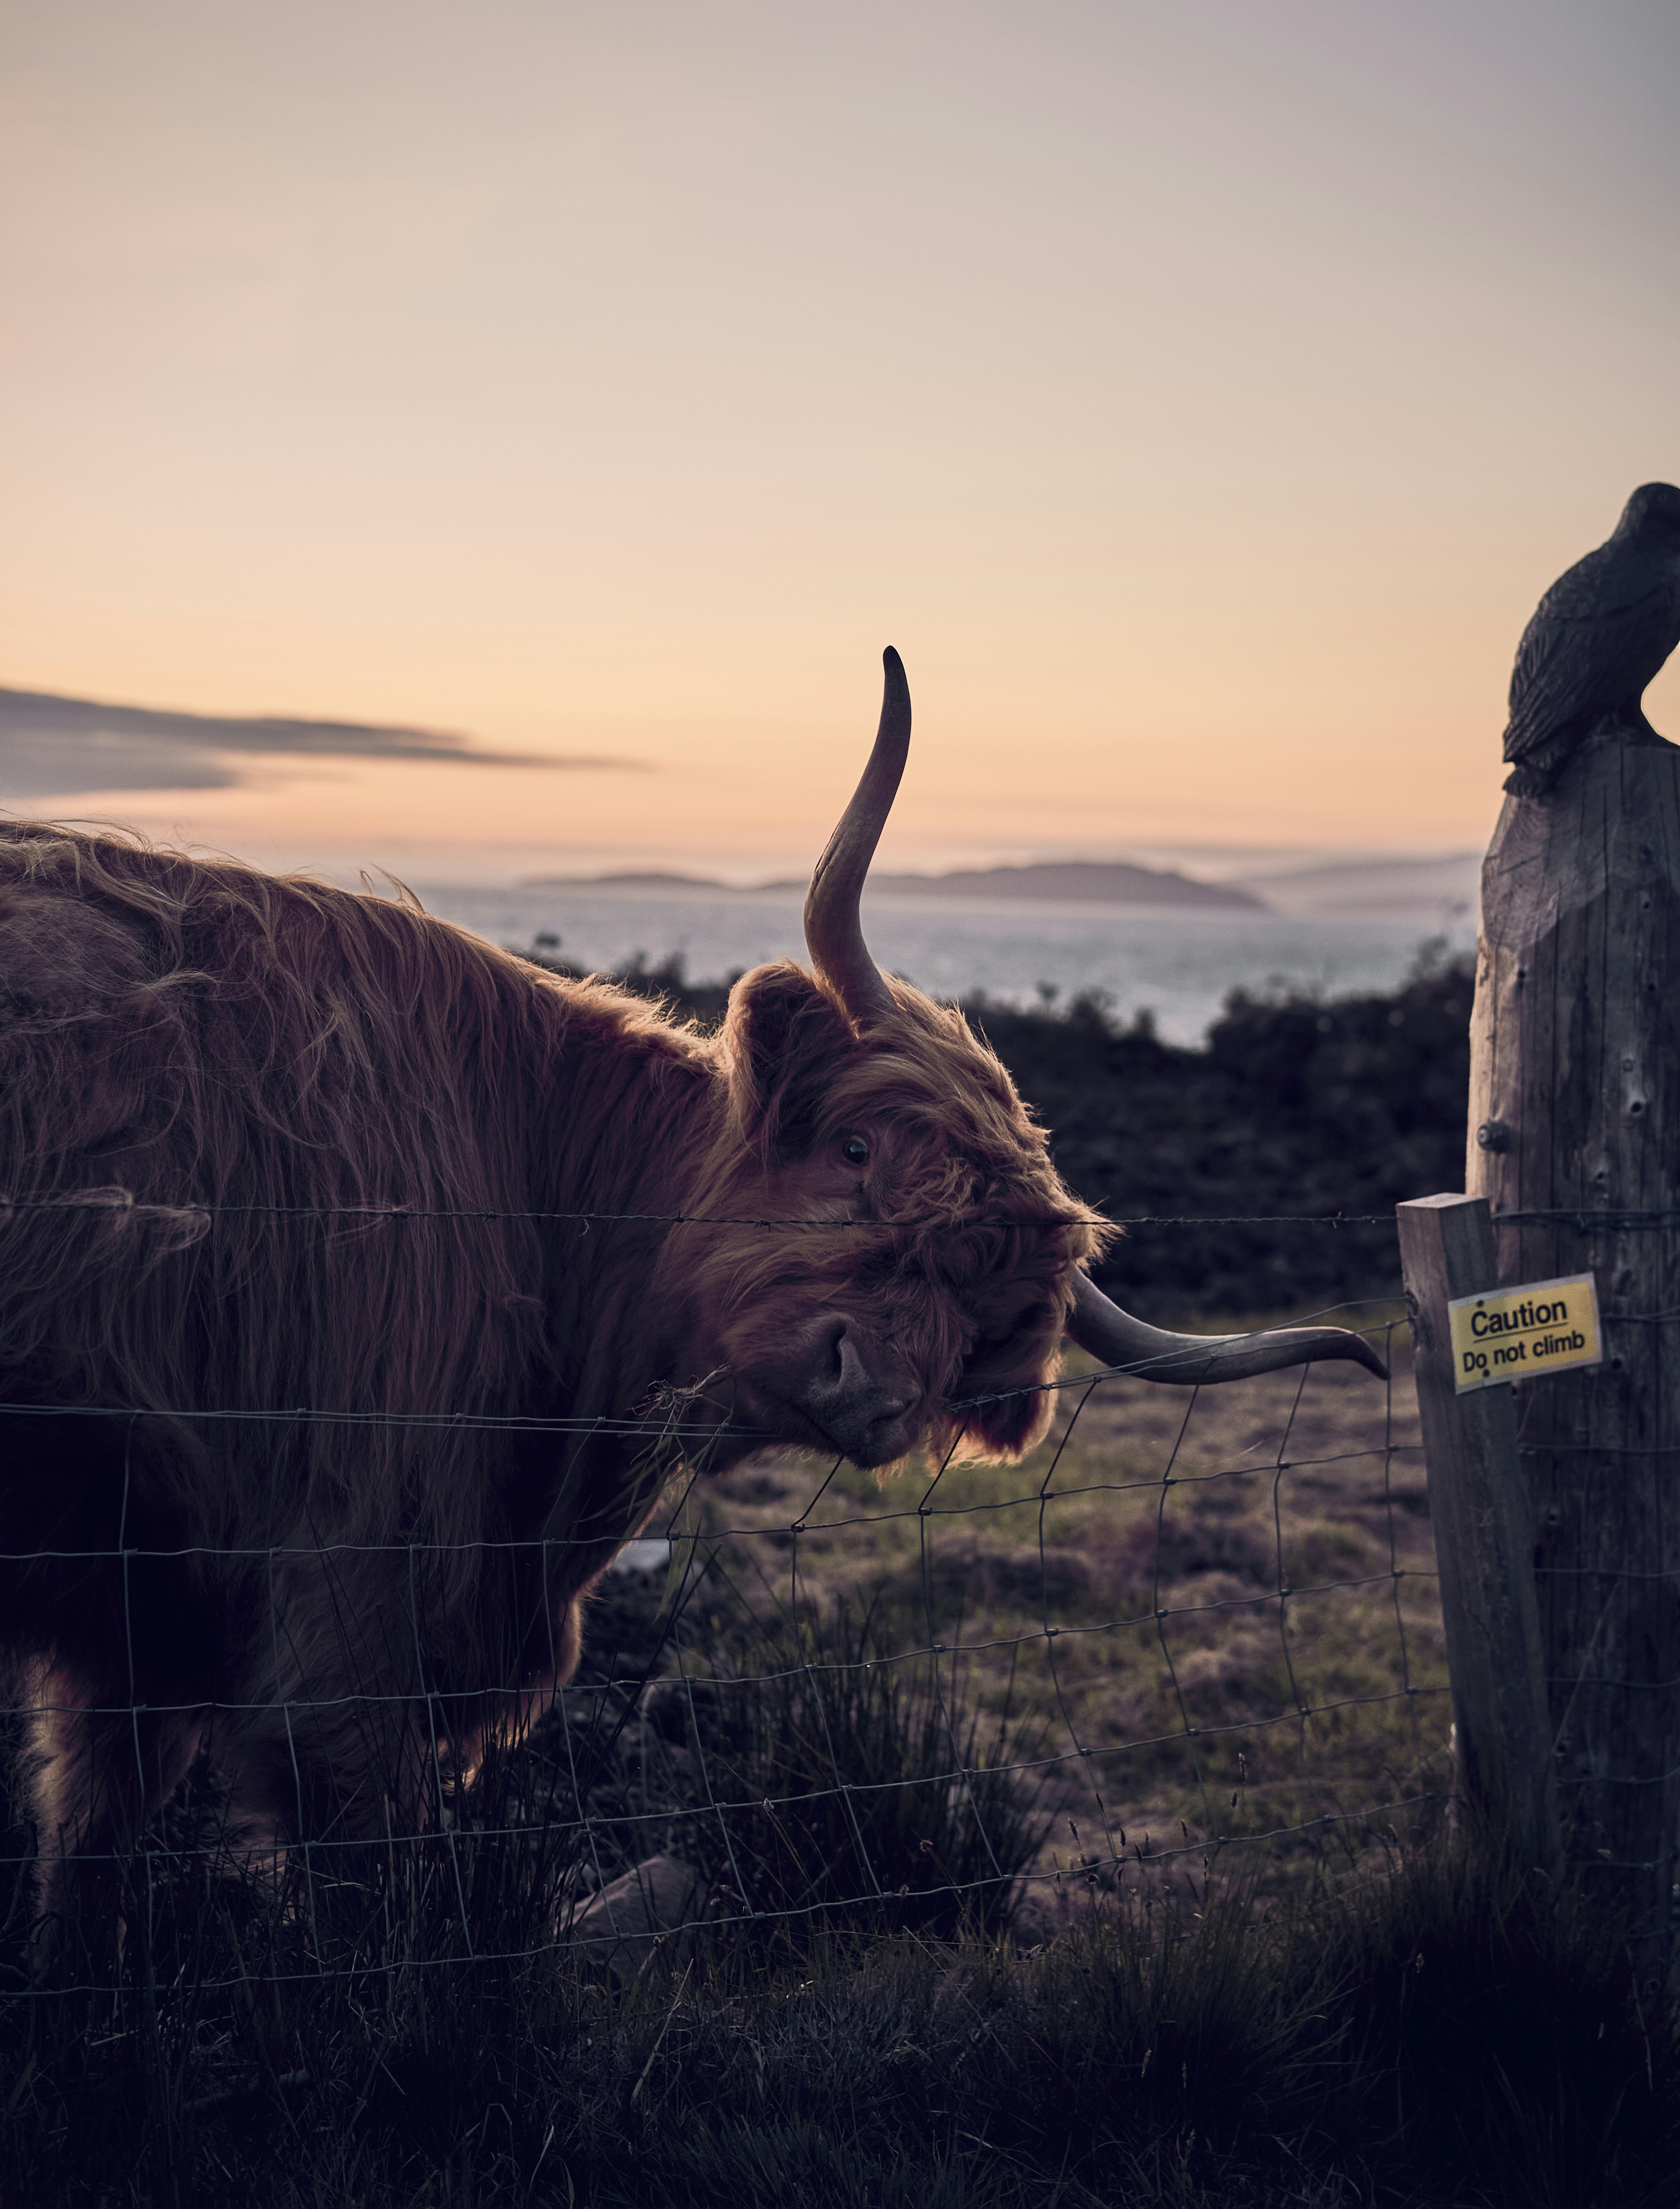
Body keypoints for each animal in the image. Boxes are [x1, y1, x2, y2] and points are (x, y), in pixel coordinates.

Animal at [0, 648, 1381, 1959]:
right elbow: (357, 1901)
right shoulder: (341, 1601)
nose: (869, 1387)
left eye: (987, 1320)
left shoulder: (154, 1617)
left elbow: (96, 1838)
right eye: (857, 1150)